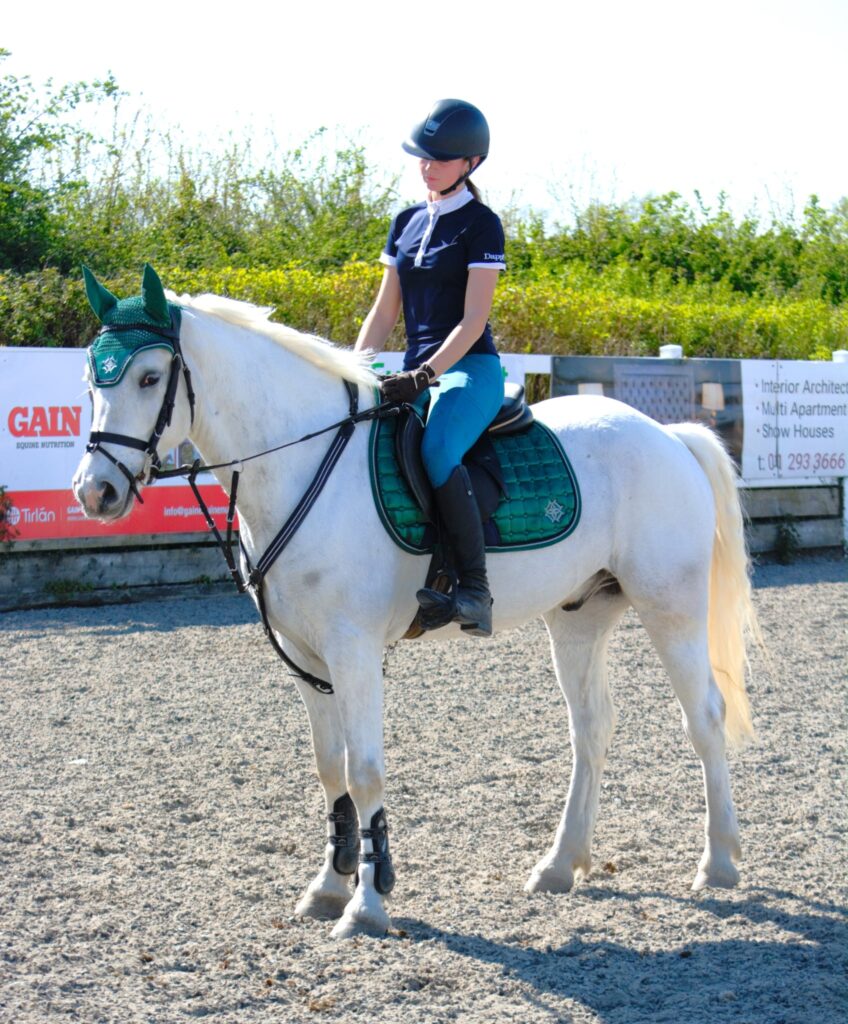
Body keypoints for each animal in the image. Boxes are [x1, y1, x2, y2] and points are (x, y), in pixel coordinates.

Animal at [73, 265, 758, 939]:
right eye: (89, 379)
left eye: (150, 376)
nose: (94, 492)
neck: (300, 462)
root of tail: (665, 433)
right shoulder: (306, 656)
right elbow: (329, 767)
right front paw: (329, 885)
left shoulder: (352, 649)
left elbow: (364, 770)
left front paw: (368, 902)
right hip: (579, 618)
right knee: (591, 728)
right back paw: (561, 864)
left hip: (670, 606)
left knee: (705, 717)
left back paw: (719, 863)